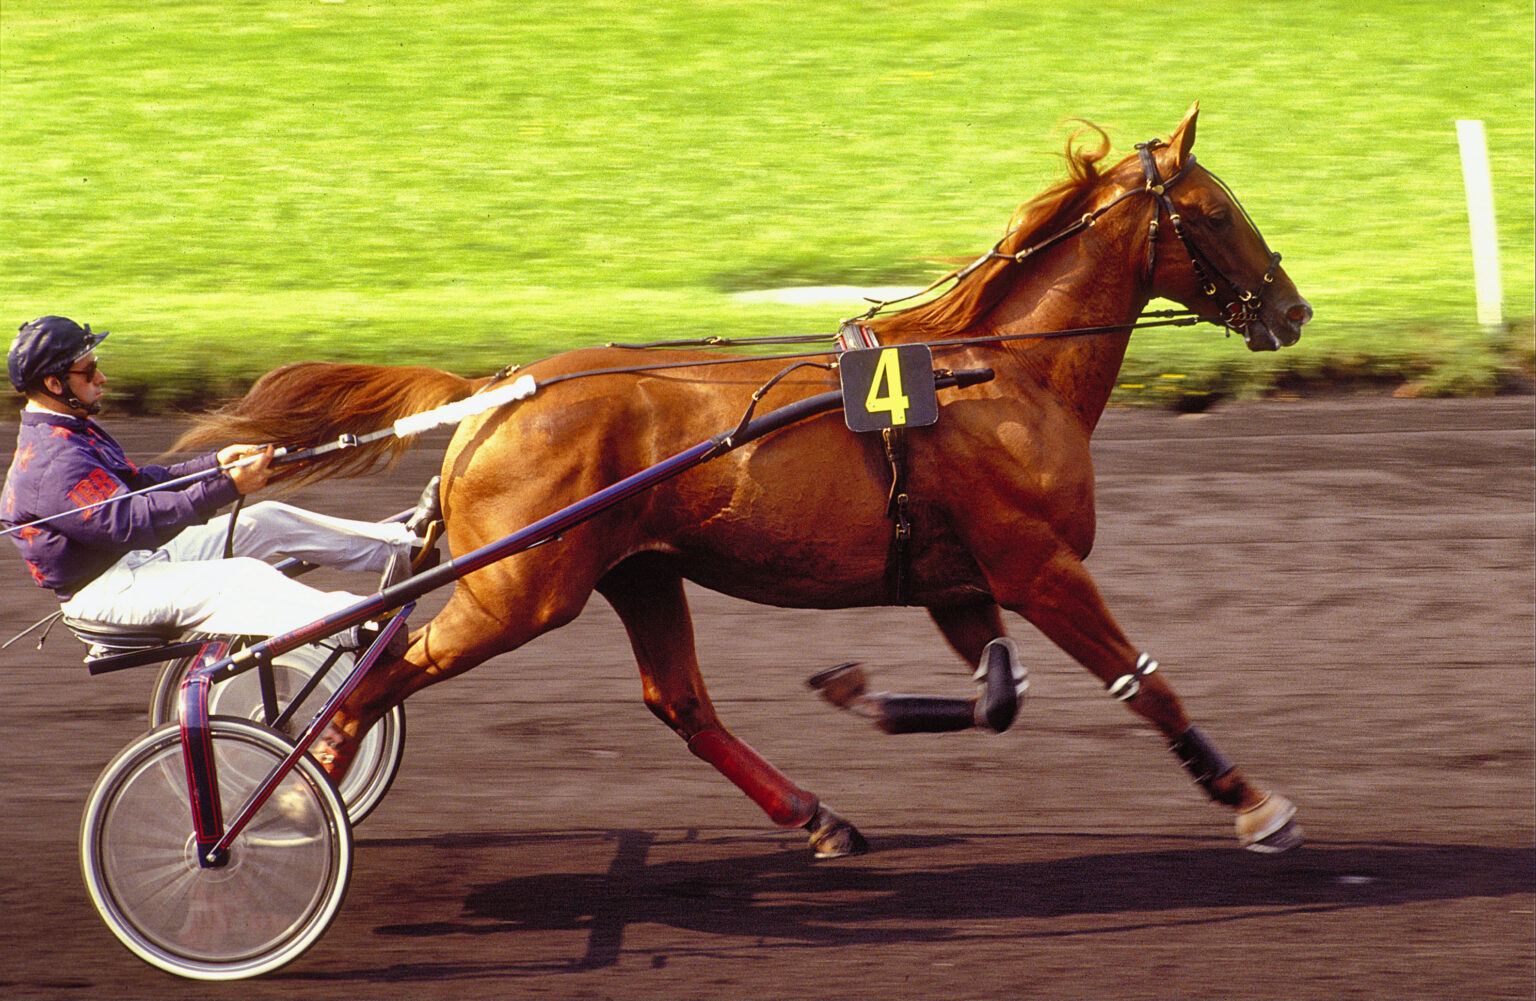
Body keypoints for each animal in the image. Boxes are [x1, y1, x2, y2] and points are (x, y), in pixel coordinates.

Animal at [177, 104, 1312, 857]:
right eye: (1216, 209)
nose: (1293, 309)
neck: (997, 369)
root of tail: (495, 392)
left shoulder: (956, 577)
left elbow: (998, 696)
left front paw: (862, 693)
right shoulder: (1039, 565)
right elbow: (1145, 682)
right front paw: (1254, 799)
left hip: (634, 569)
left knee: (680, 701)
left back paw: (816, 814)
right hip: (518, 589)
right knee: (383, 671)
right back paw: (287, 799)